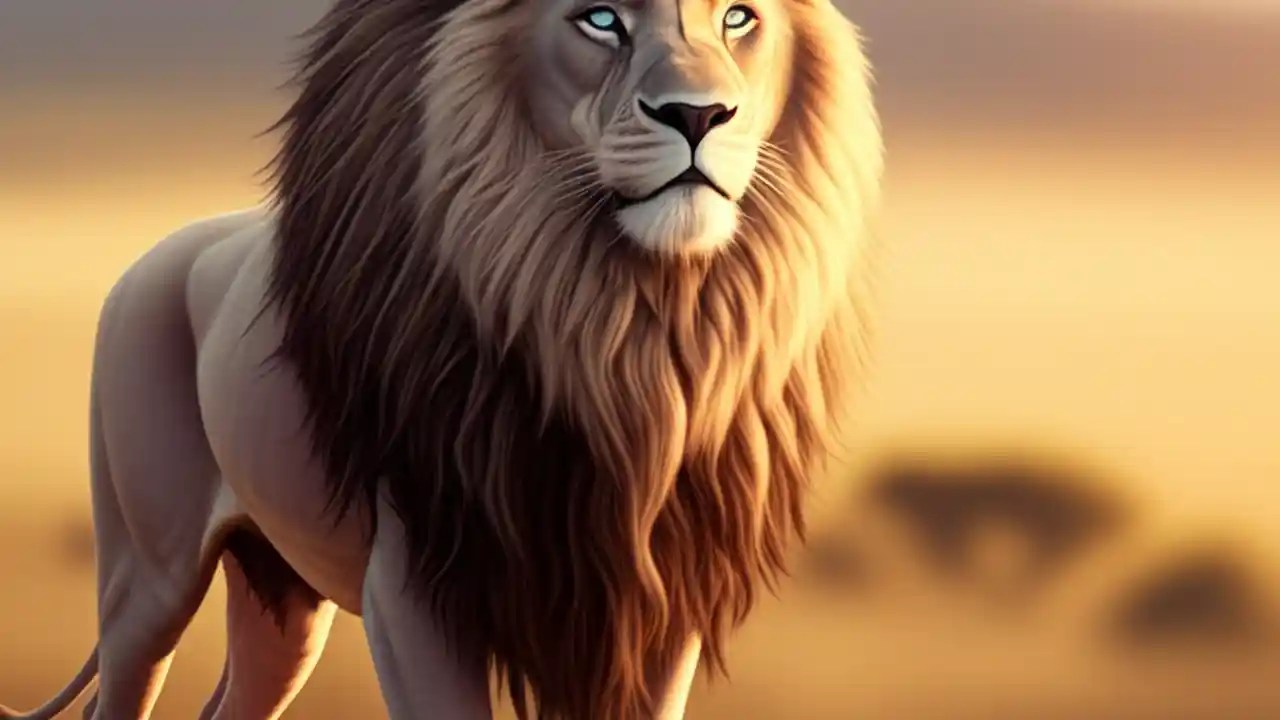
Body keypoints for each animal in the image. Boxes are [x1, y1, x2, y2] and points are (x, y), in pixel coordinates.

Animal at [0, 0, 881, 717]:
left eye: (739, 18)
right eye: (600, 20)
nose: (698, 116)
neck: (619, 330)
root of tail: (144, 261)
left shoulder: (660, 597)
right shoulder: (415, 584)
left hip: (280, 595)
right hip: (148, 573)